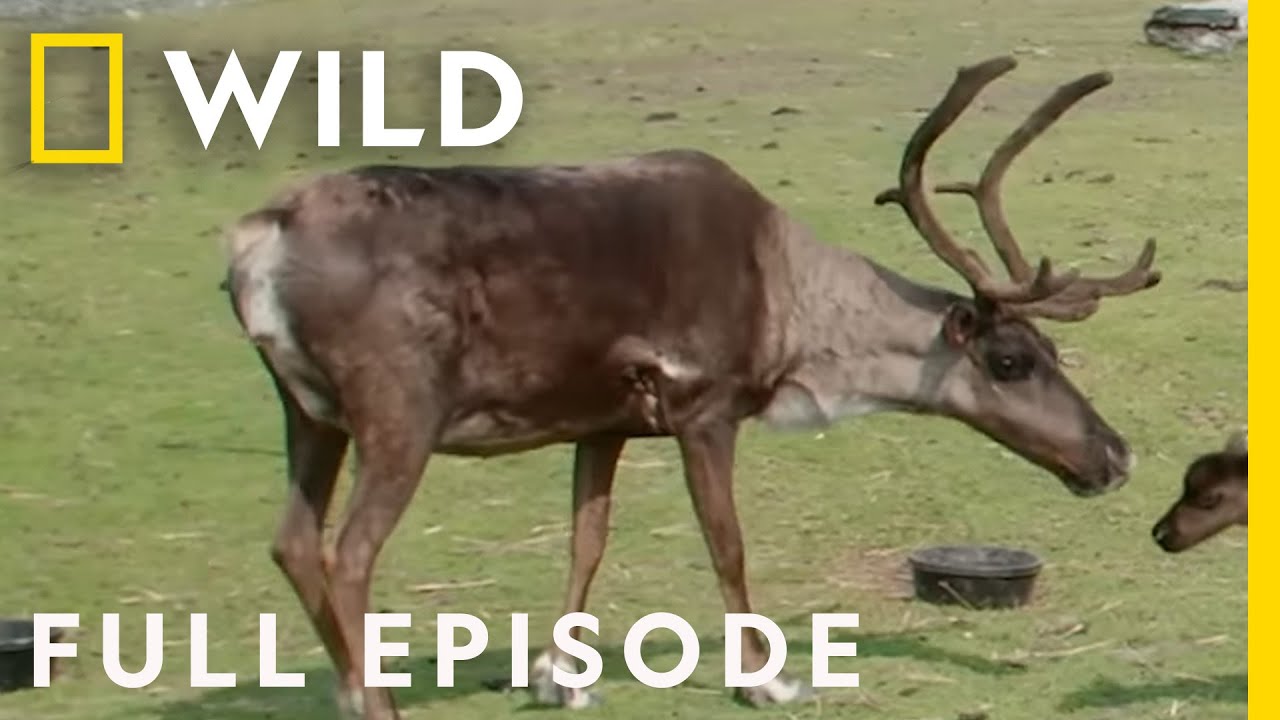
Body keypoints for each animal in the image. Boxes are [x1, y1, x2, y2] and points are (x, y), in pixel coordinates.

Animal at [218, 55, 1160, 719]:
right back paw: (375, 700)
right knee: (348, 554)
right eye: (1010, 361)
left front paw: (560, 675)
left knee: (292, 542)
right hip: (398, 411)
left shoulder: (599, 420)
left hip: (307, 411)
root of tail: (258, 240)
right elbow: (727, 544)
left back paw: (350, 686)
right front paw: (767, 681)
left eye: (1050, 347)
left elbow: (587, 540)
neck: (790, 317)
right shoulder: (705, 406)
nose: (1115, 455)